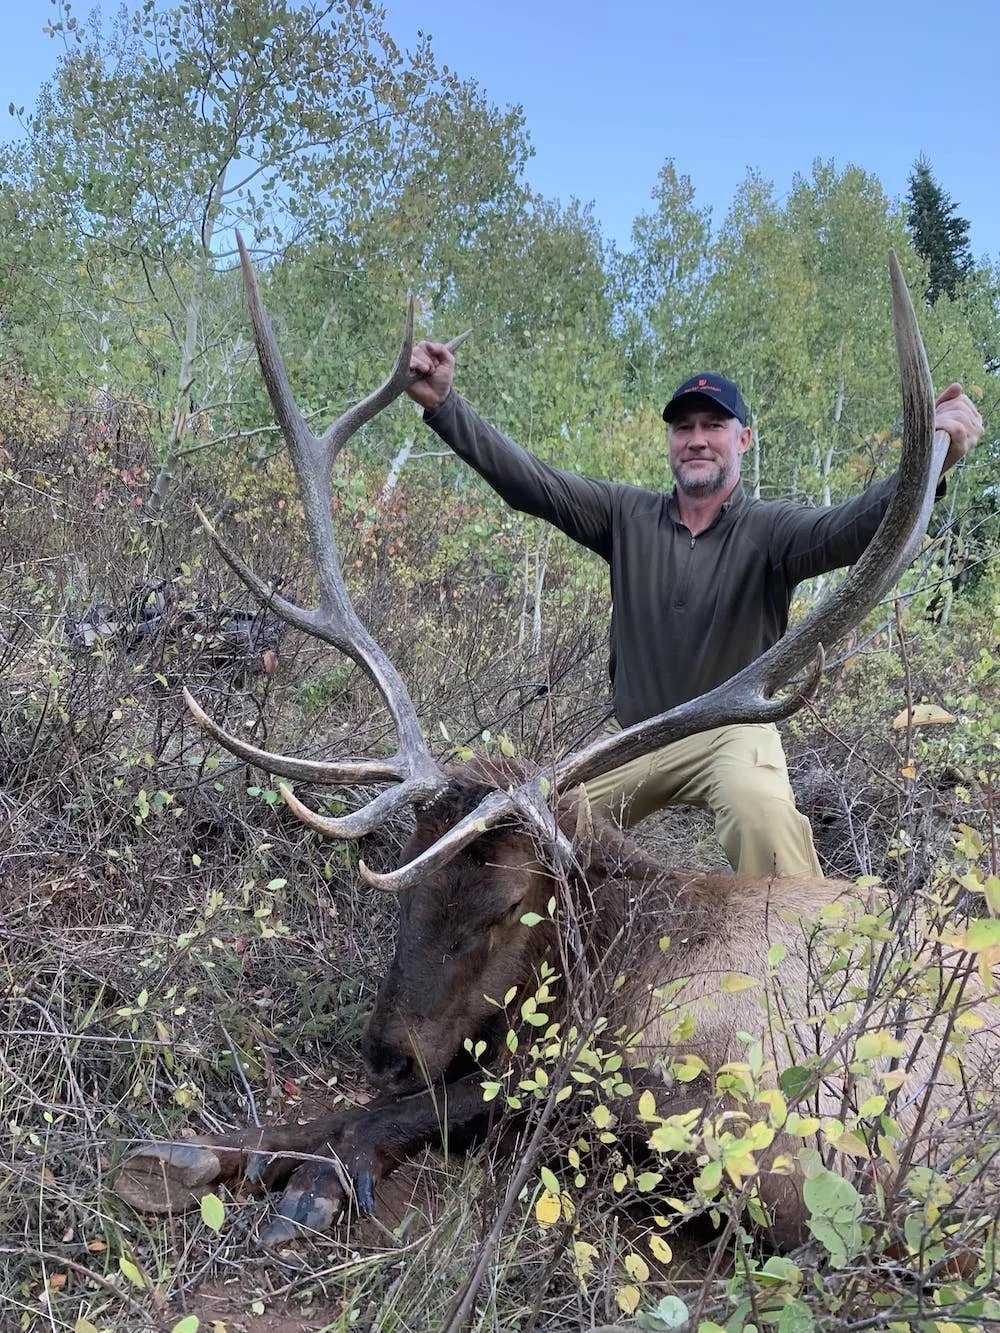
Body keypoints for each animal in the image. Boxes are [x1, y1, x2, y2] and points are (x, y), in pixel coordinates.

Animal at [114, 240, 999, 1265]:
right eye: (406, 881)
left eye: (506, 904)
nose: (385, 1052)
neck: (614, 951)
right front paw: (190, 1152)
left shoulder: (677, 1097)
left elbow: (426, 1110)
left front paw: (312, 1178)